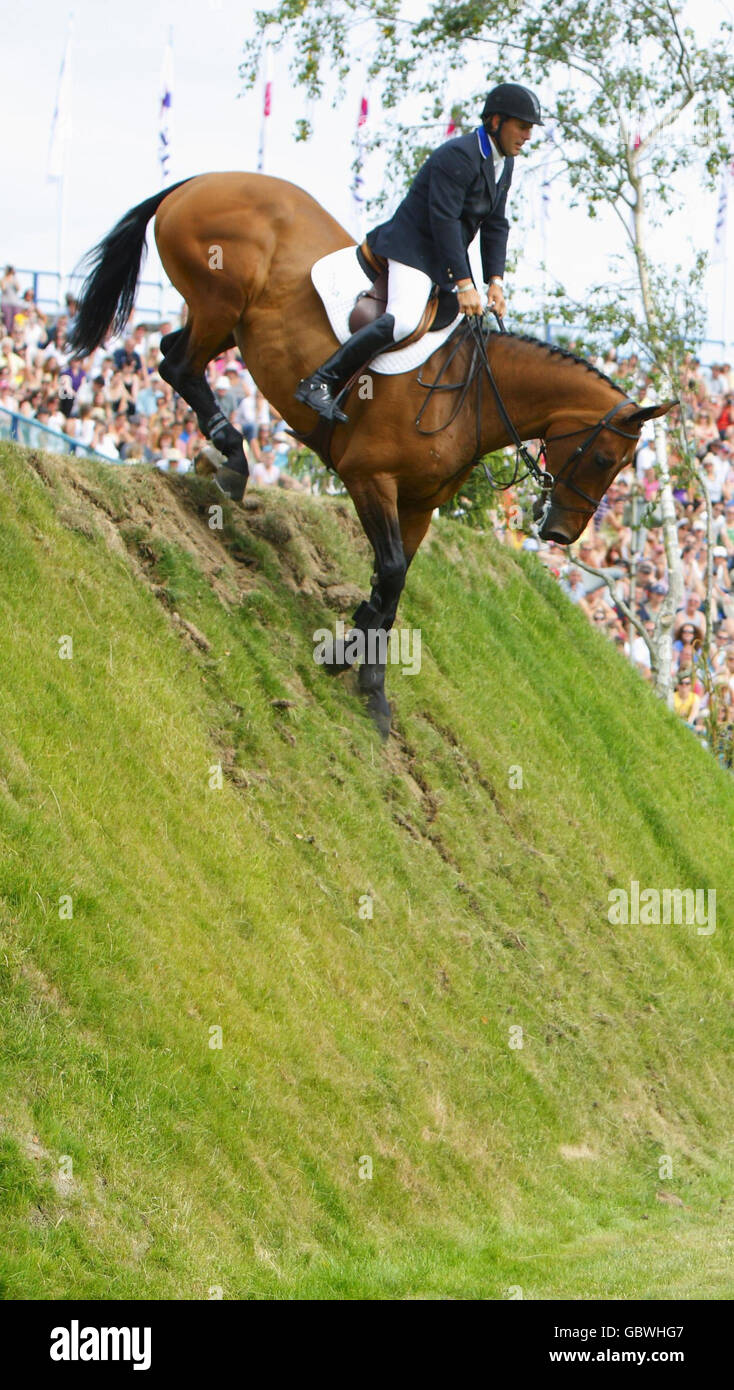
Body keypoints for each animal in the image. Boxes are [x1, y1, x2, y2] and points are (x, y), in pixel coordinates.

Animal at [69, 172, 676, 734]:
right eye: (605, 461)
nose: (562, 534)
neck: (471, 391)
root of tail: (202, 180)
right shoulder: (370, 478)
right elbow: (390, 574)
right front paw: (345, 655)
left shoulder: (419, 505)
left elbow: (394, 588)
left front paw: (371, 684)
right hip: (220, 300)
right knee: (177, 364)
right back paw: (234, 459)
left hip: (227, 321)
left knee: (174, 357)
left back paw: (221, 457)